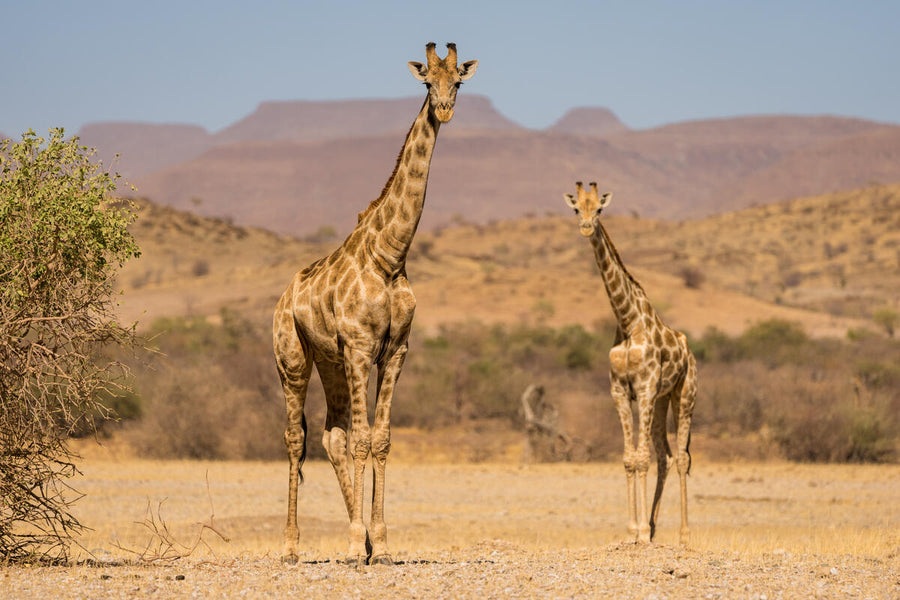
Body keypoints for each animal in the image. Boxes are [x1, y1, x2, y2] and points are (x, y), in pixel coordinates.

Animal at [272, 43, 477, 566]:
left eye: (458, 82)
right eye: (426, 81)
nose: (444, 109)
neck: (390, 256)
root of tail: (283, 298)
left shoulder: (395, 350)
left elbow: (380, 440)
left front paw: (378, 543)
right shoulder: (362, 347)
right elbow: (364, 441)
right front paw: (354, 544)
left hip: (330, 361)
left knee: (332, 437)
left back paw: (357, 537)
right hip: (293, 359)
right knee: (297, 438)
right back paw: (292, 545)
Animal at [563, 182, 697, 544]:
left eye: (599, 209)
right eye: (577, 209)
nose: (586, 227)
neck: (626, 319)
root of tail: (691, 353)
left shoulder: (646, 388)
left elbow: (641, 458)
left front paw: (640, 534)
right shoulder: (620, 390)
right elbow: (628, 458)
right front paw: (633, 531)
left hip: (683, 396)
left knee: (681, 457)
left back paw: (683, 535)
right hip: (663, 401)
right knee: (666, 457)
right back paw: (654, 526)